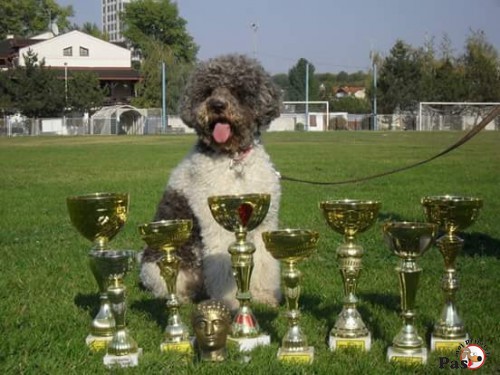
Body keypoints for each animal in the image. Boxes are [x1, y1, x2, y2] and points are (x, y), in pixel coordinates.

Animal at [141, 54, 282, 310]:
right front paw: (230, 302)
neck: (234, 162)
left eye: (237, 89)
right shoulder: (217, 226)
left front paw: (264, 295)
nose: (216, 105)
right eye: (207, 91)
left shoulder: (264, 223)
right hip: (162, 265)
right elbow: (223, 267)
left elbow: (265, 264)